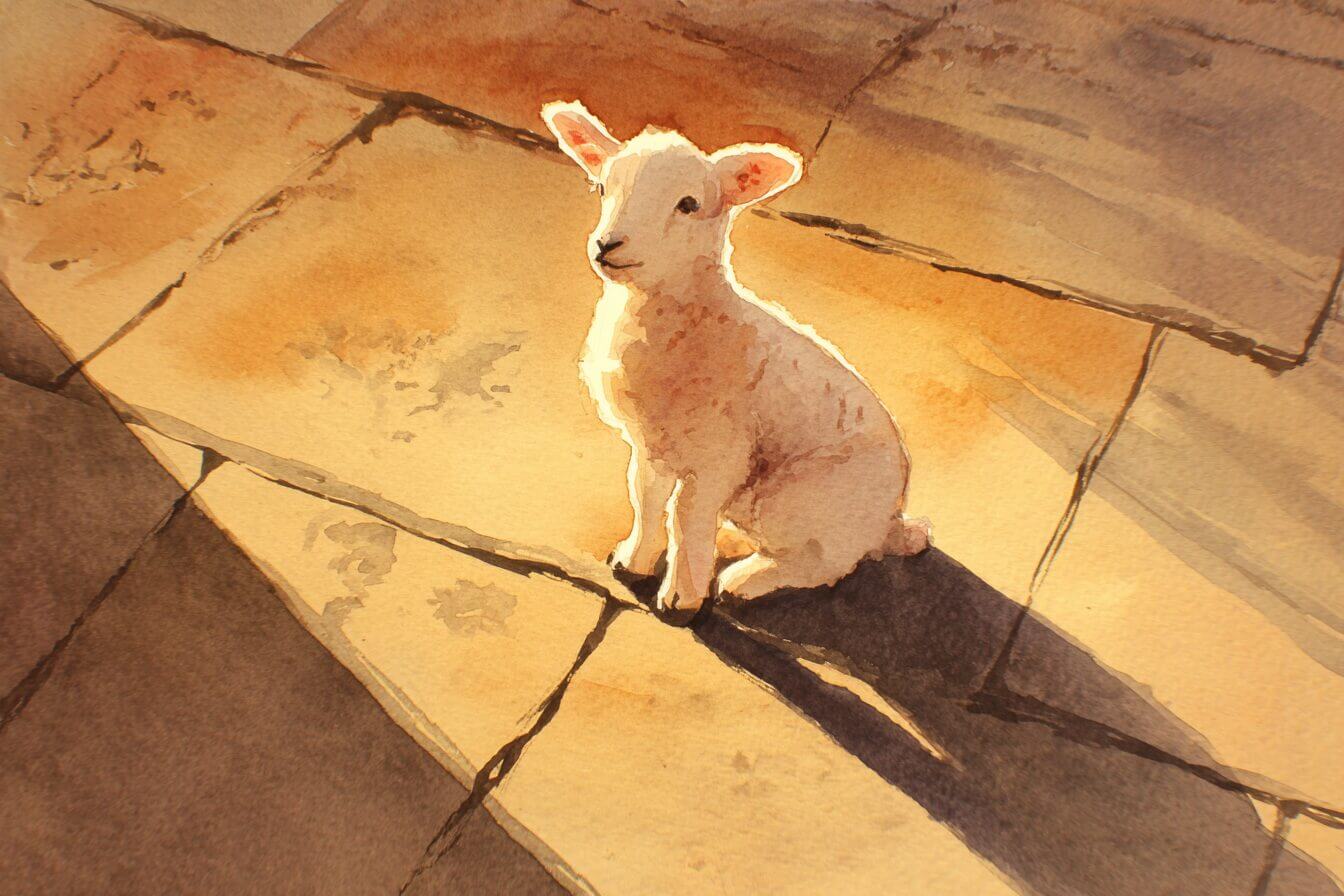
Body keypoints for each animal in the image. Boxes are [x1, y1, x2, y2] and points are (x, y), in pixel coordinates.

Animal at [542, 101, 929, 624]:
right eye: (602, 187)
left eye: (688, 204)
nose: (608, 246)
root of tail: (889, 523)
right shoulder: (652, 448)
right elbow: (646, 500)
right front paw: (630, 562)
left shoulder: (719, 456)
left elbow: (686, 518)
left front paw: (681, 600)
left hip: (793, 499)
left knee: (823, 562)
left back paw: (741, 581)